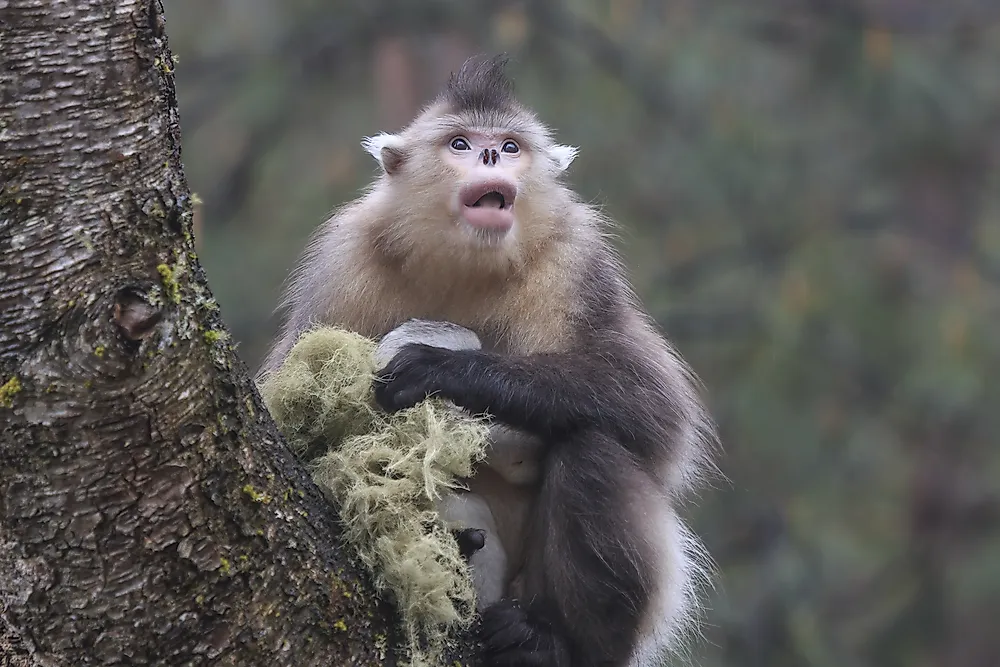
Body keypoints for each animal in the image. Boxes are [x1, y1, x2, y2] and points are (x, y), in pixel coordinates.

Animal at [260, 55, 717, 667]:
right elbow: (297, 424)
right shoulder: (343, 262)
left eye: (509, 145)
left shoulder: (577, 260)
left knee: (591, 450)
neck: (464, 263)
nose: (490, 158)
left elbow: (657, 412)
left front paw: (443, 371)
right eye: (460, 143)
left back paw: (548, 640)